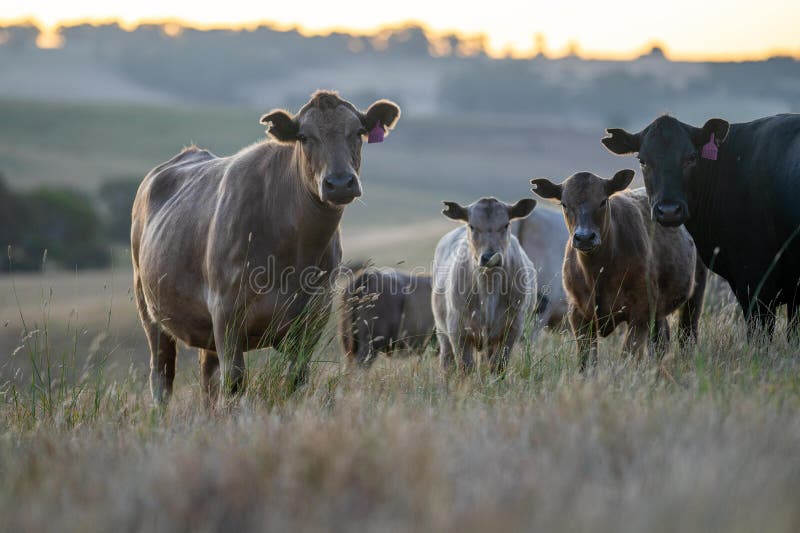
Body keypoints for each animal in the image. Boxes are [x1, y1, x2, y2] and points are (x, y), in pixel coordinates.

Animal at [131, 90, 400, 406]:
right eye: (304, 136)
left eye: (358, 132)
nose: (339, 182)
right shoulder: (225, 312)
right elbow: (234, 381)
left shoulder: (313, 315)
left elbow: (296, 378)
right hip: (150, 309)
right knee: (162, 376)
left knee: (207, 379)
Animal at [432, 197, 537, 374]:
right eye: (472, 226)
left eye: (506, 225)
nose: (489, 257)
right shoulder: (457, 330)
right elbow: (466, 367)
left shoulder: (512, 328)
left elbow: (498, 365)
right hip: (442, 331)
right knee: (446, 361)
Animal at [531, 170, 705, 370]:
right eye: (564, 204)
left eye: (603, 201)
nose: (584, 237)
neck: (598, 272)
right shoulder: (578, 313)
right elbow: (586, 362)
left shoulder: (641, 312)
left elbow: (628, 356)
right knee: (661, 340)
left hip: (694, 294)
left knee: (687, 333)